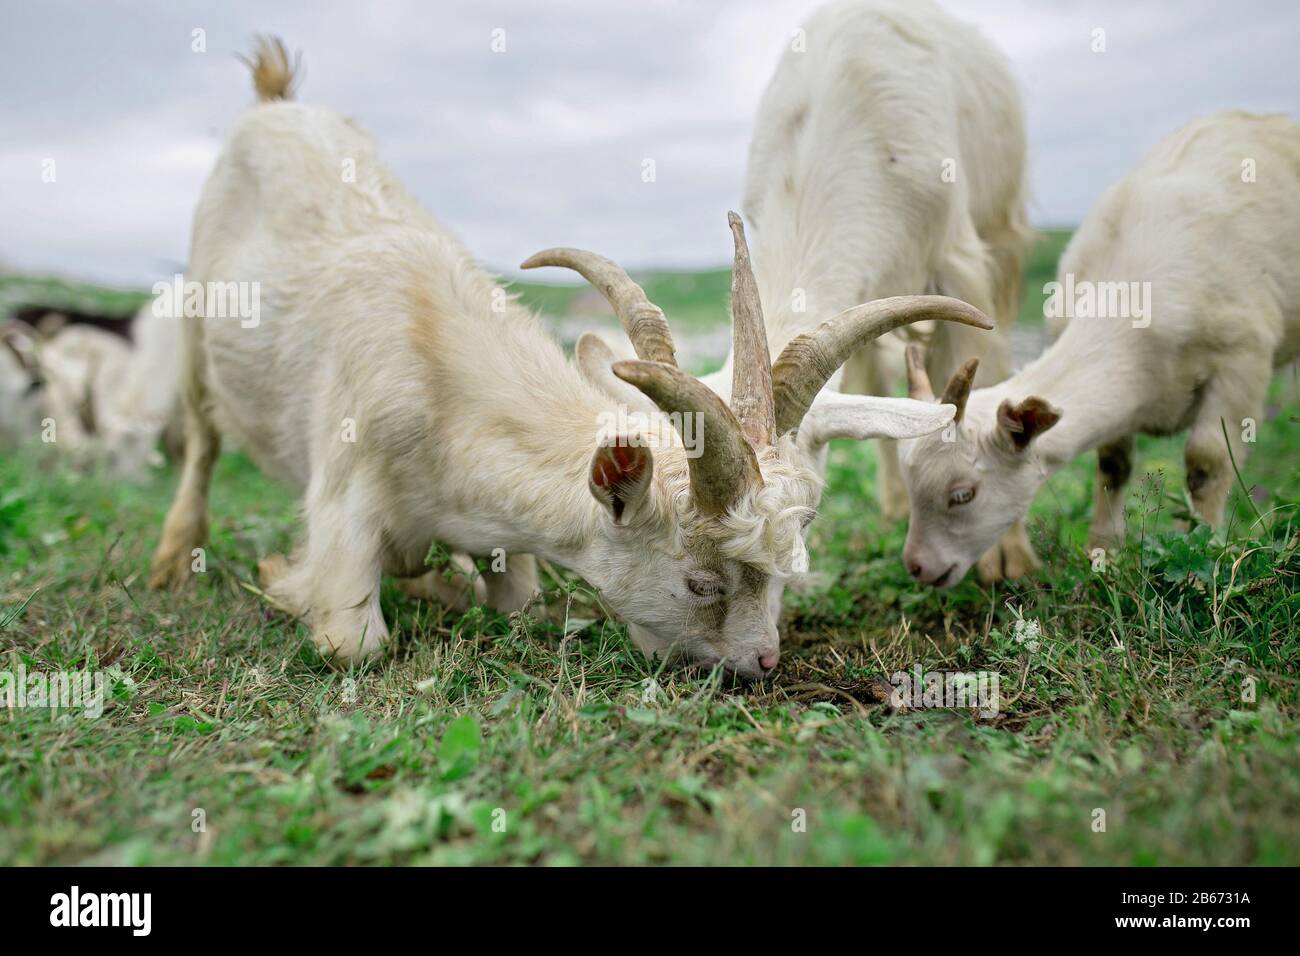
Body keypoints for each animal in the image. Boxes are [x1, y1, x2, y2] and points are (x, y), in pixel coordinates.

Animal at [150, 37, 990, 677]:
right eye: (700, 582)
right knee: (201, 441)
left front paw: (440, 578)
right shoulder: (345, 497)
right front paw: (297, 579)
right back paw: (173, 557)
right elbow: (353, 638)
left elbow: (515, 600)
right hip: (191, 331)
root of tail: (274, 103)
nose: (763, 664)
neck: (440, 390)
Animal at [897, 111, 1300, 587]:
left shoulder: (1242, 359)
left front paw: (1203, 554)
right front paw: (1102, 550)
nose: (916, 566)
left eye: (963, 494)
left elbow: (1207, 461)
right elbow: (1113, 462)